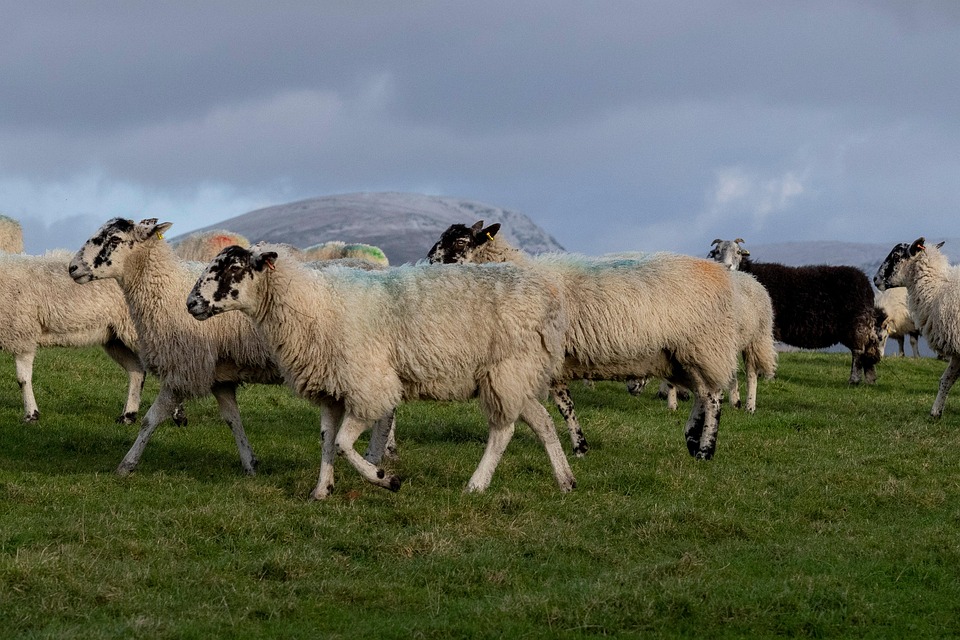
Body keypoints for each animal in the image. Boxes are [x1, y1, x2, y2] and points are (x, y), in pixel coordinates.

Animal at [0, 250, 147, 423]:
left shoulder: (22, 335)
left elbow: (23, 379)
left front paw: (31, 415)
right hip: (115, 338)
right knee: (136, 371)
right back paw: (128, 416)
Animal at [186, 243, 576, 498]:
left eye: (234, 269)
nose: (190, 303)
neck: (314, 304)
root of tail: (549, 297)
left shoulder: (368, 385)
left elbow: (343, 443)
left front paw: (384, 478)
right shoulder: (331, 389)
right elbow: (327, 440)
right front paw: (322, 490)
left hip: (506, 369)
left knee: (503, 430)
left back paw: (476, 484)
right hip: (516, 374)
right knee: (542, 421)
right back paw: (566, 481)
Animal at [428, 221, 741, 461]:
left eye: (461, 242)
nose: (428, 262)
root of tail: (719, 273)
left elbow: (562, 405)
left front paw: (578, 448)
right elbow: (565, 404)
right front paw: (581, 446)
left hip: (705, 344)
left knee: (714, 397)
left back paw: (705, 450)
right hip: (681, 355)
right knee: (702, 393)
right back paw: (691, 440)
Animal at [708, 238, 881, 385]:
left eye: (738, 252)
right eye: (716, 252)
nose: (726, 266)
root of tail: (866, 284)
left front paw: (767, 376)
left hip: (856, 325)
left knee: (858, 351)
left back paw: (854, 380)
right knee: (869, 349)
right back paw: (870, 379)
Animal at [874, 238, 960, 417]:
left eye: (896, 255)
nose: (875, 278)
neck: (937, 291)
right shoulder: (957, 349)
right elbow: (946, 380)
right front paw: (935, 412)